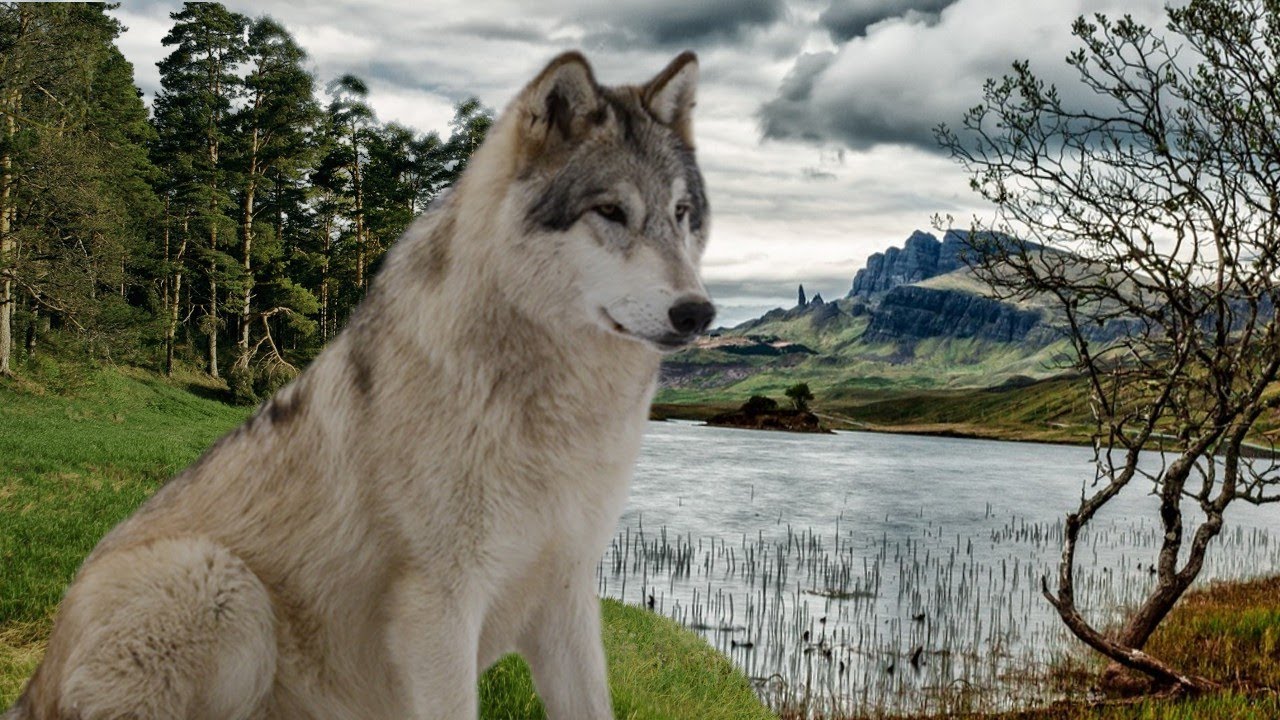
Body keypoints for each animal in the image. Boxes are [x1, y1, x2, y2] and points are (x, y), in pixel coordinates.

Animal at [6, 50, 713, 720]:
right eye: (611, 212)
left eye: (682, 215)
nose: (699, 313)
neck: (550, 403)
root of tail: (36, 681)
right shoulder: (439, 610)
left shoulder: (567, 599)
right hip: (221, 586)